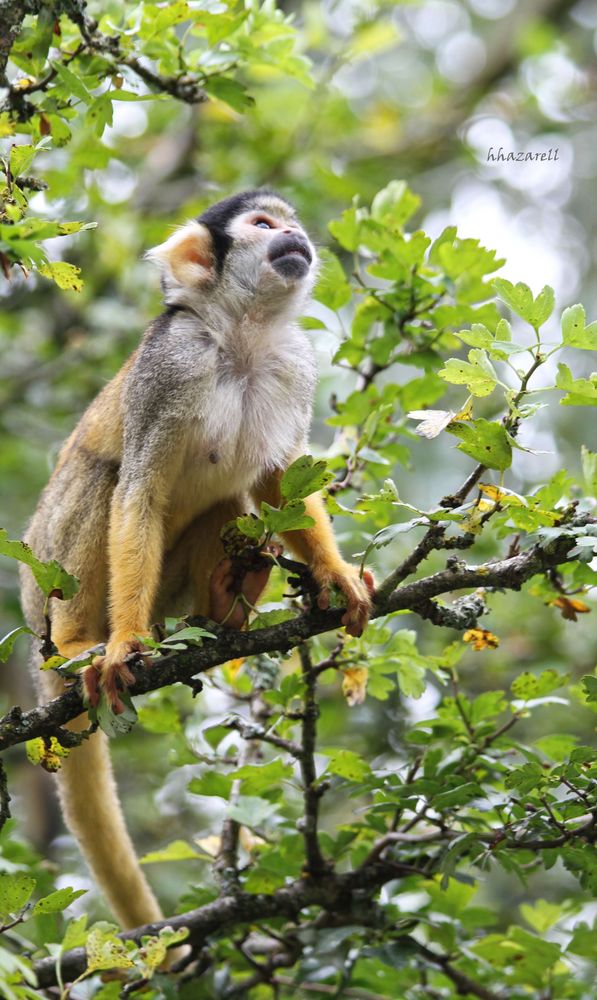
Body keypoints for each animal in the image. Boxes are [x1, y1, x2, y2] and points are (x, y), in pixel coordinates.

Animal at [19, 188, 373, 933]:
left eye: (288, 224)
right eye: (263, 226)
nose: (295, 238)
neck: (241, 333)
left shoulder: (295, 362)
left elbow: (278, 482)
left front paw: (333, 576)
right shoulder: (171, 360)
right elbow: (140, 491)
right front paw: (123, 645)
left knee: (234, 504)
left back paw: (223, 598)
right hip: (42, 580)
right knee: (103, 475)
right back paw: (82, 642)